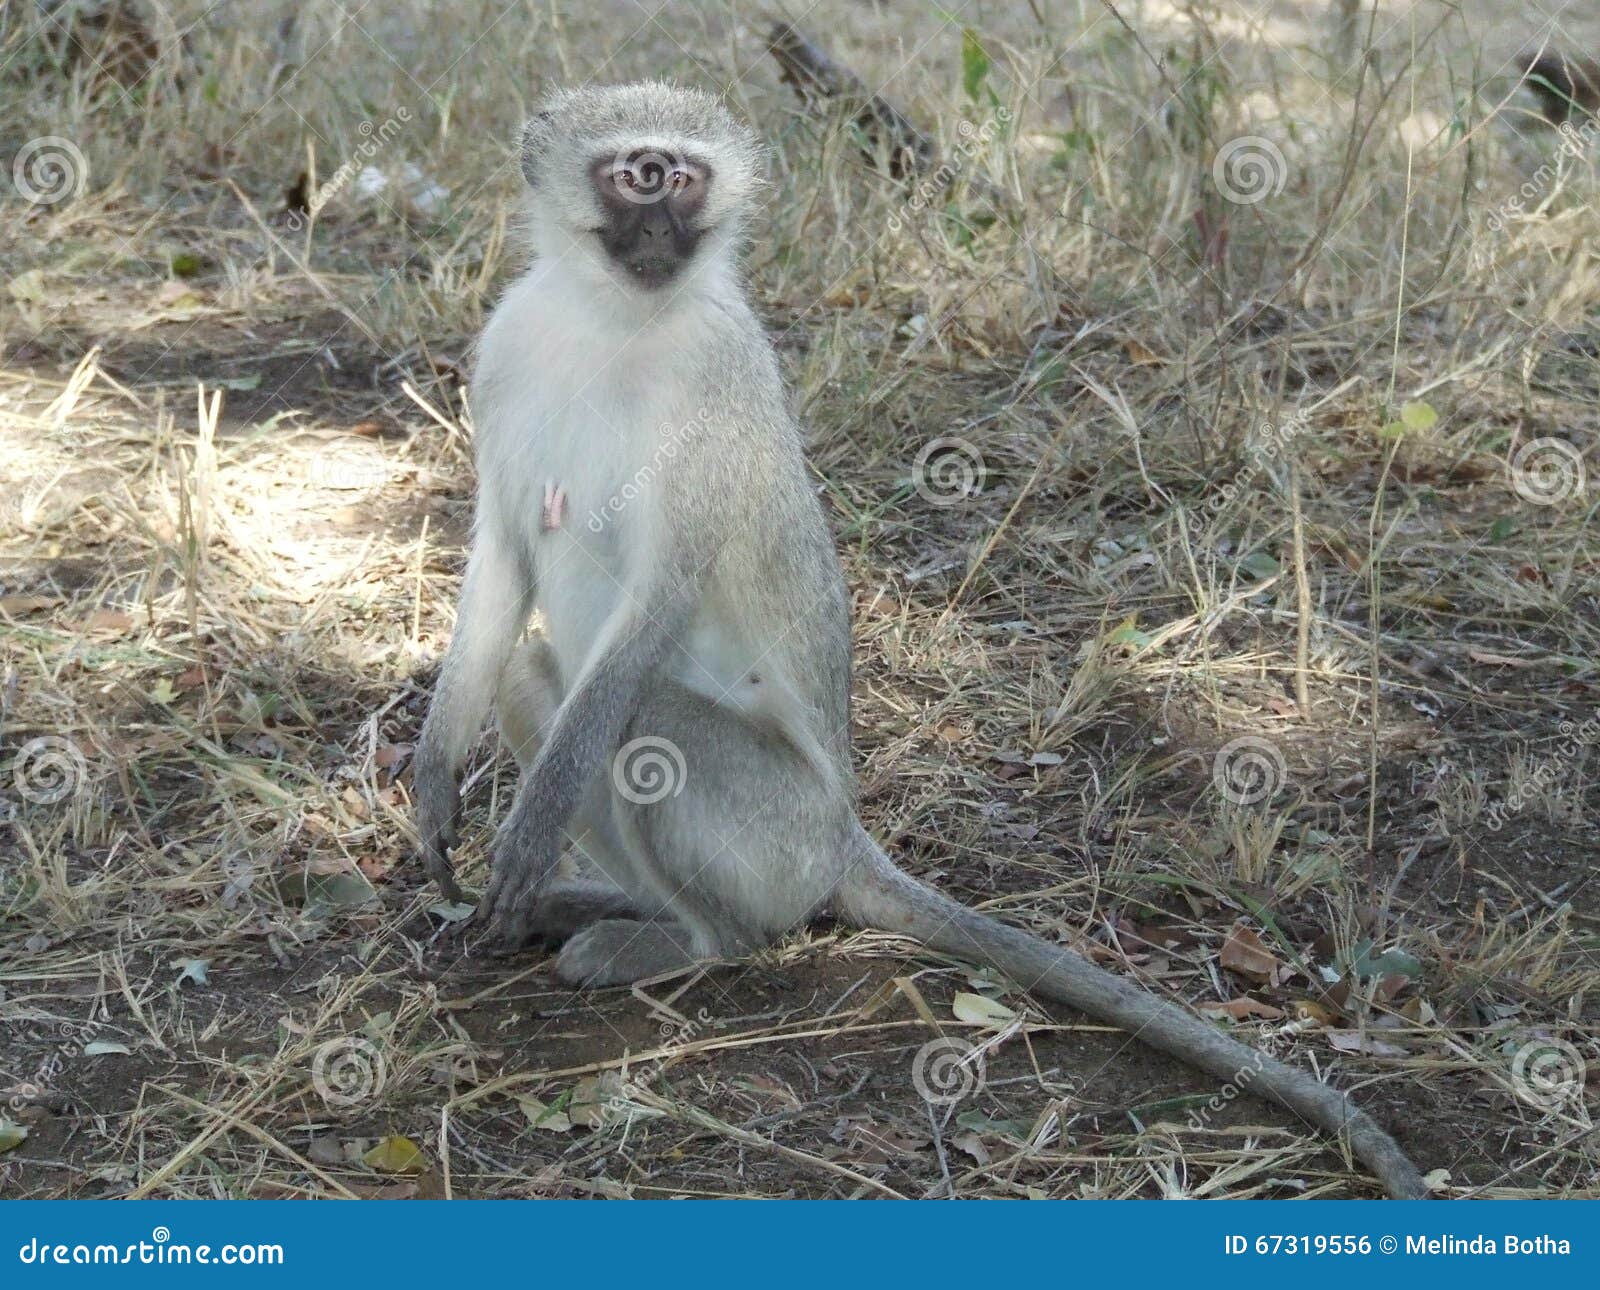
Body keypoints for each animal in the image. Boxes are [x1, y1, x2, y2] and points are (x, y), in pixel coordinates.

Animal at [411, 82, 1427, 1200]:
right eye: (638, 176)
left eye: (681, 177)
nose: (664, 231)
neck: (611, 315)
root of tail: (843, 838)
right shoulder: (507, 350)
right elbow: (504, 560)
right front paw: (433, 787)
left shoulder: (717, 381)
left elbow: (658, 601)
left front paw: (527, 829)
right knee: (530, 673)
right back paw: (605, 902)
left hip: (782, 838)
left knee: (650, 739)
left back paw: (696, 943)